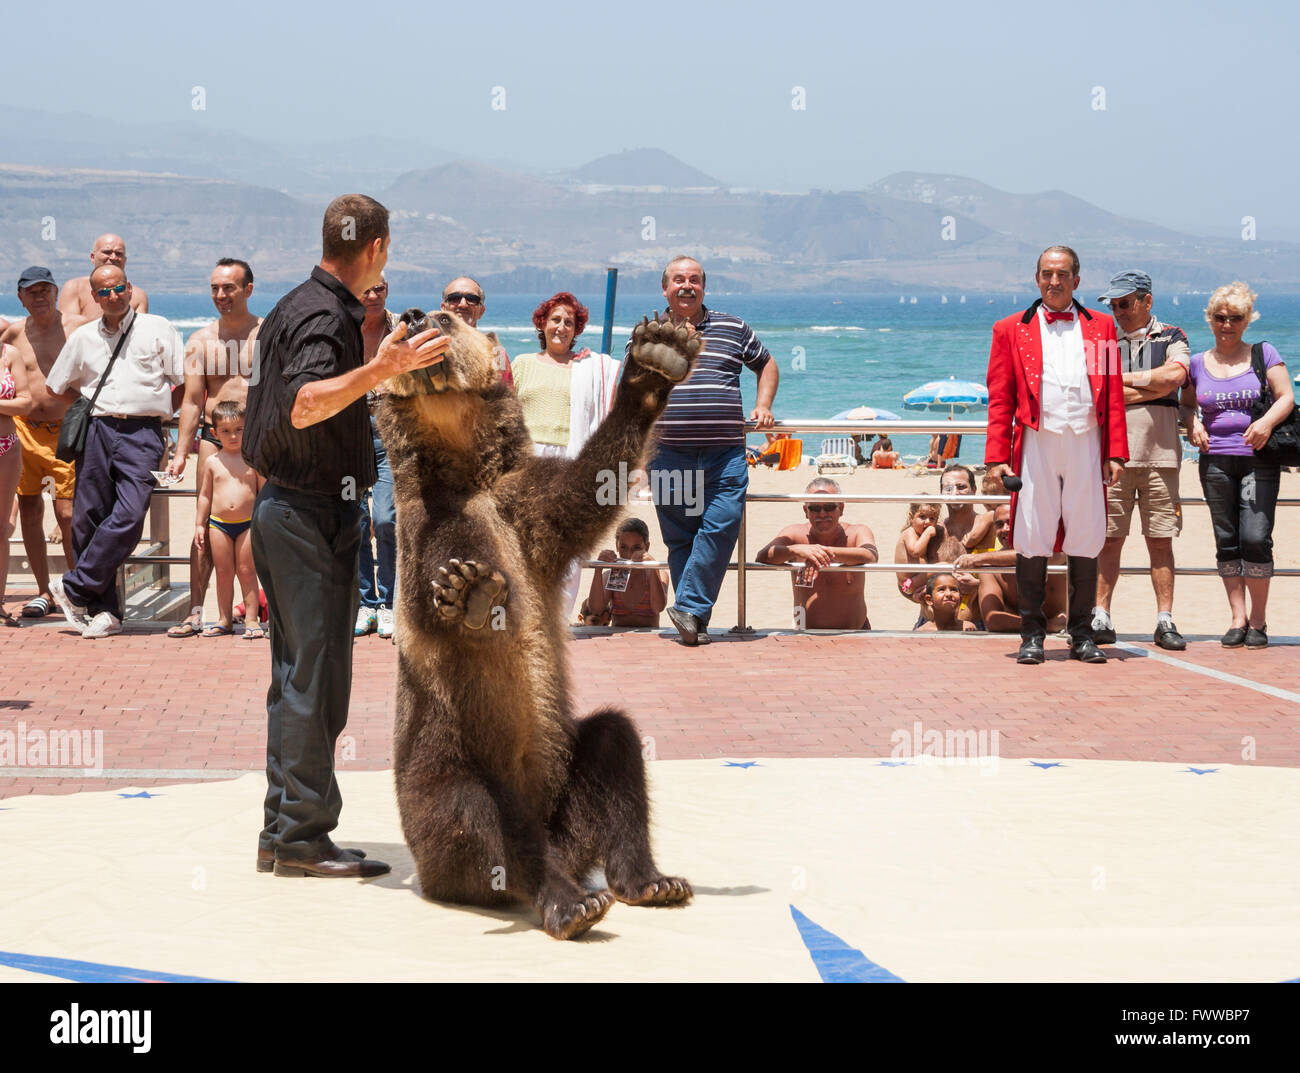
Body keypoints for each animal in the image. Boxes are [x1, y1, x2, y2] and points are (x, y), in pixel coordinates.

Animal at [377, 306, 700, 940]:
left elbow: (589, 487)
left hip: (565, 784)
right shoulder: (430, 525)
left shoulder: (527, 510)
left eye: (445, 317)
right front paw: (471, 592)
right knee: (483, 821)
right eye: (399, 324)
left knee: (614, 746)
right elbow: (436, 595)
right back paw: (569, 903)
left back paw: (649, 881)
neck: (463, 464)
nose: (414, 316)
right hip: (441, 768)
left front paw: (658, 357)